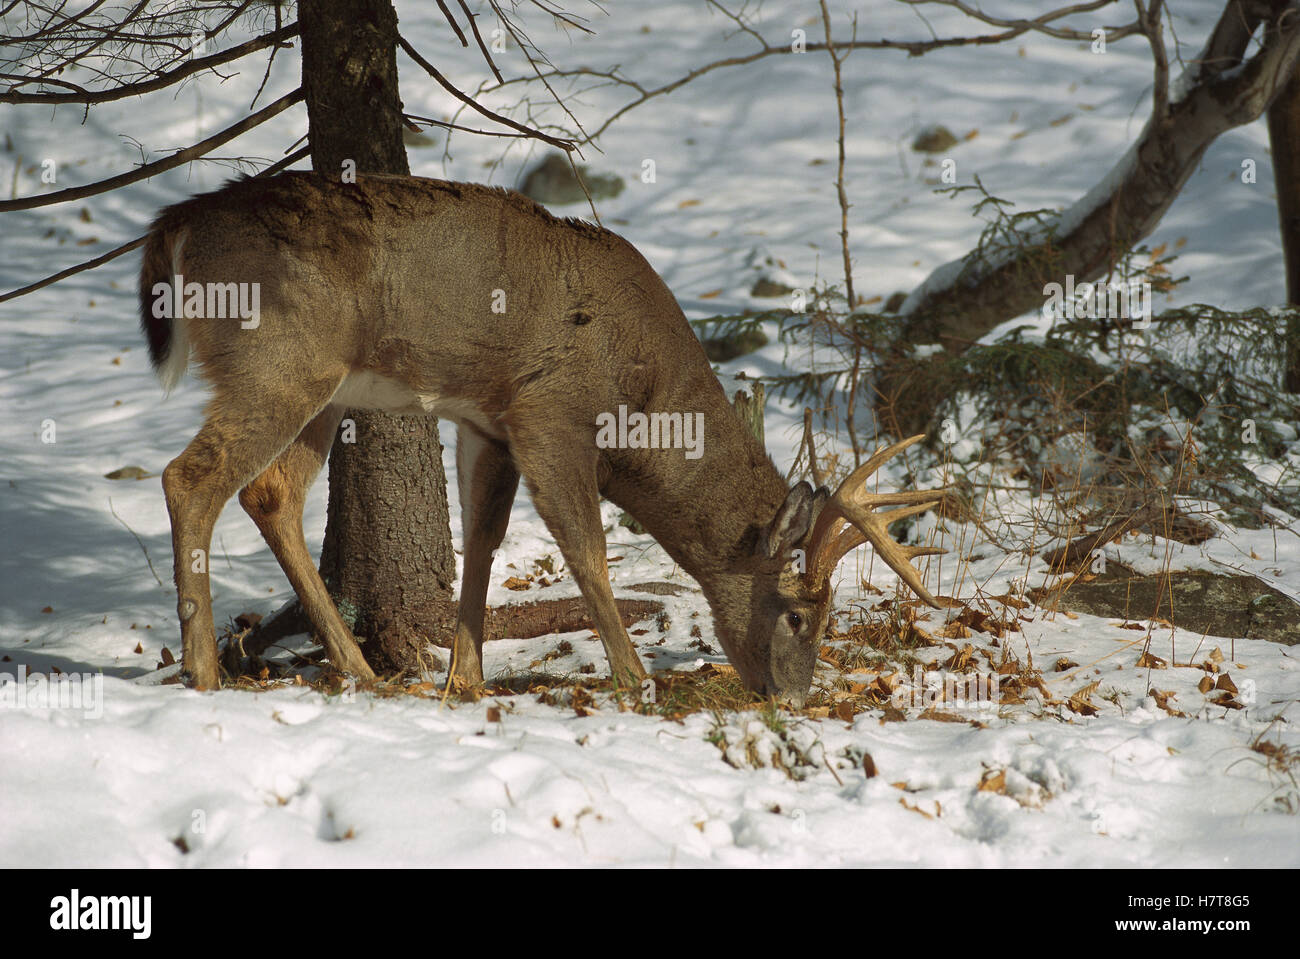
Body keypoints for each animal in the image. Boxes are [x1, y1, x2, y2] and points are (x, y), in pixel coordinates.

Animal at [139, 171, 949, 705]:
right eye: (799, 614)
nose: (793, 698)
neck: (646, 403)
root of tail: (177, 223)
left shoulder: (489, 423)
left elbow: (483, 541)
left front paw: (465, 676)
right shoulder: (549, 413)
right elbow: (585, 547)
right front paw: (635, 679)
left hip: (321, 386)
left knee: (268, 492)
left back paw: (362, 671)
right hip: (278, 359)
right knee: (189, 477)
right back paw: (203, 670)